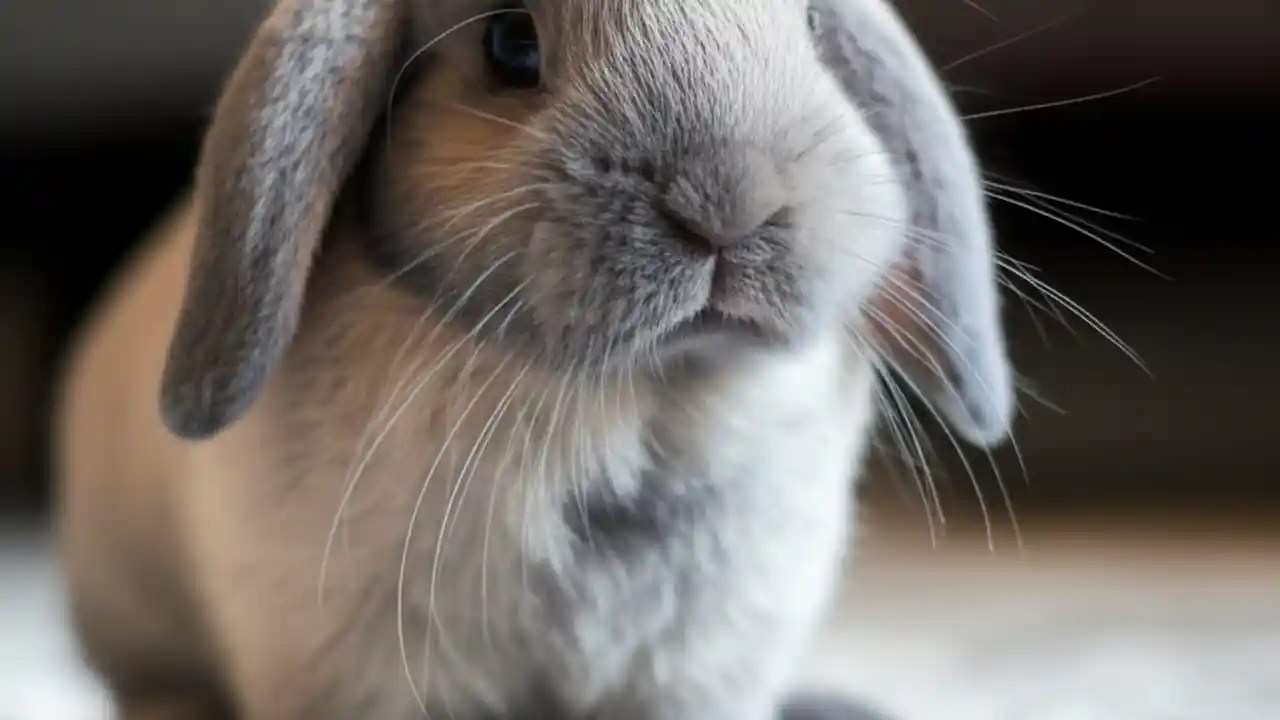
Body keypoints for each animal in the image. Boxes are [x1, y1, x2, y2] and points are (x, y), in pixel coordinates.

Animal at [54, 0, 1014, 718]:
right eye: (510, 44)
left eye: (813, 26)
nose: (731, 203)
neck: (643, 402)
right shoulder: (353, 662)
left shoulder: (699, 672)